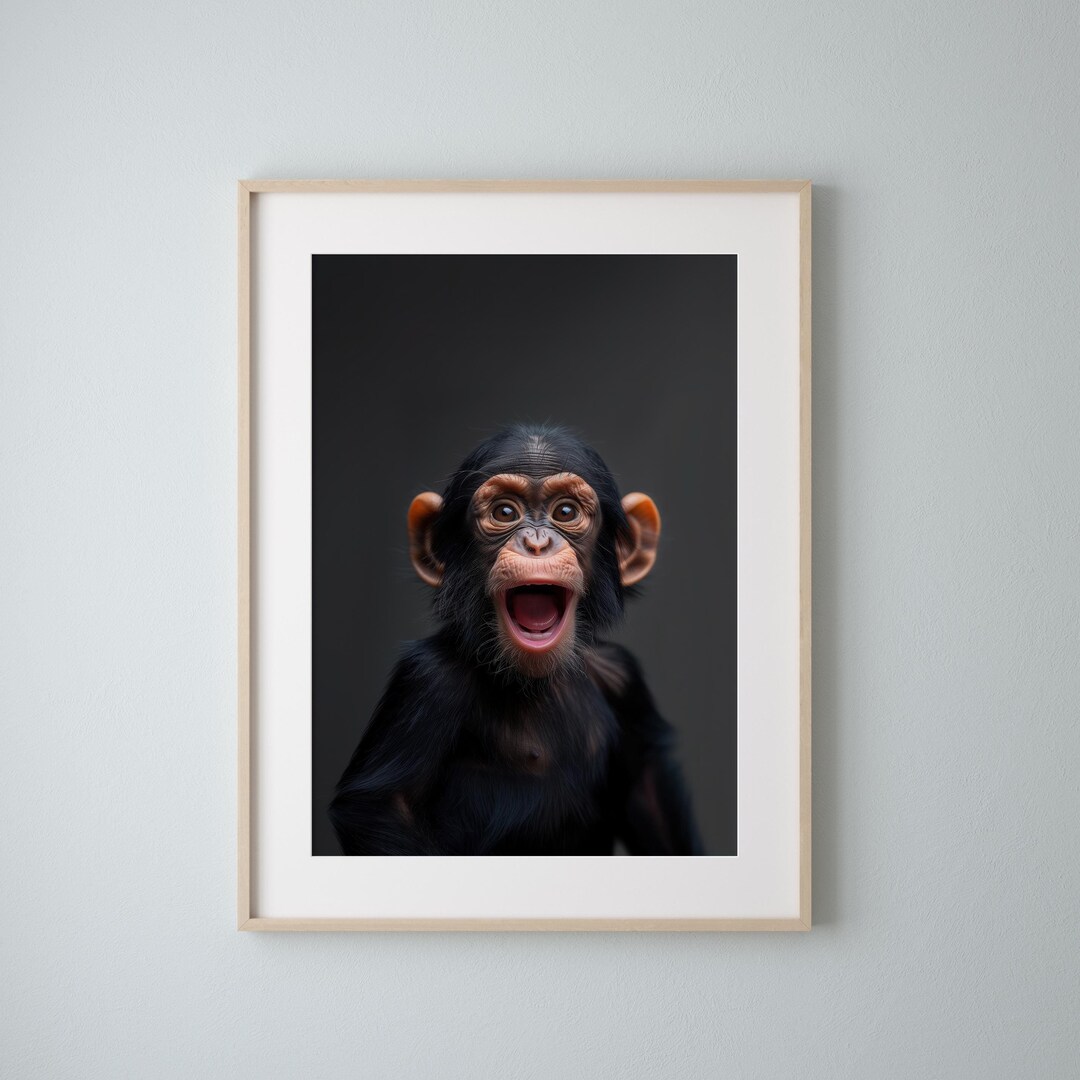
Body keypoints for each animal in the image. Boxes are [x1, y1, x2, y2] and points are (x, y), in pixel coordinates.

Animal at [328, 424, 703, 855]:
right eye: (505, 513)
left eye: (565, 512)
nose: (537, 543)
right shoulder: (426, 679)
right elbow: (380, 808)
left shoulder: (623, 676)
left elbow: (650, 801)